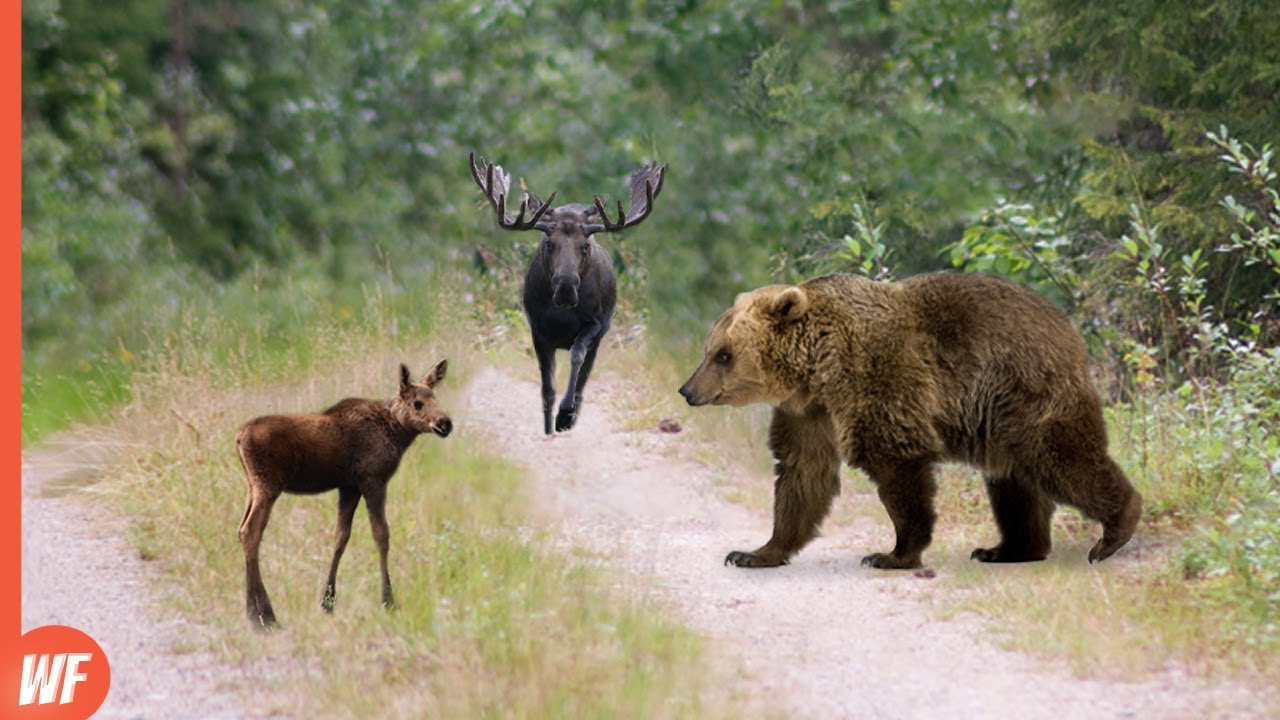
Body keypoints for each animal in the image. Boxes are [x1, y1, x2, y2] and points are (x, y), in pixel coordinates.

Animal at [235, 361, 451, 629]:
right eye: (417, 403)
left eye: (435, 397)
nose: (445, 423)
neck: (397, 434)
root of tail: (238, 438)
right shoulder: (373, 480)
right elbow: (381, 535)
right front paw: (388, 601)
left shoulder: (349, 487)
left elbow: (340, 537)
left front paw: (327, 601)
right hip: (267, 486)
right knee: (251, 531)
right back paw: (262, 615)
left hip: (252, 487)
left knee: (241, 529)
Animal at [469, 152, 667, 435]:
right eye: (549, 244)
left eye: (585, 246)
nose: (565, 287)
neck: (561, 315)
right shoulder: (537, 330)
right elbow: (547, 388)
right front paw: (549, 426)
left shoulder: (594, 325)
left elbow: (576, 358)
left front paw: (565, 414)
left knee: (584, 377)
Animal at [678, 271, 1142, 570]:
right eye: (710, 349)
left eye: (723, 355)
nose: (687, 390)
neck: (817, 368)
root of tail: (1070, 329)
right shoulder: (808, 412)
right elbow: (802, 472)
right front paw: (754, 552)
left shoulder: (877, 378)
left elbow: (896, 462)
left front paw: (891, 554)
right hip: (999, 418)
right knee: (1013, 481)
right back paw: (1009, 548)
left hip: (1024, 391)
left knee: (1062, 460)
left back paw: (1113, 532)